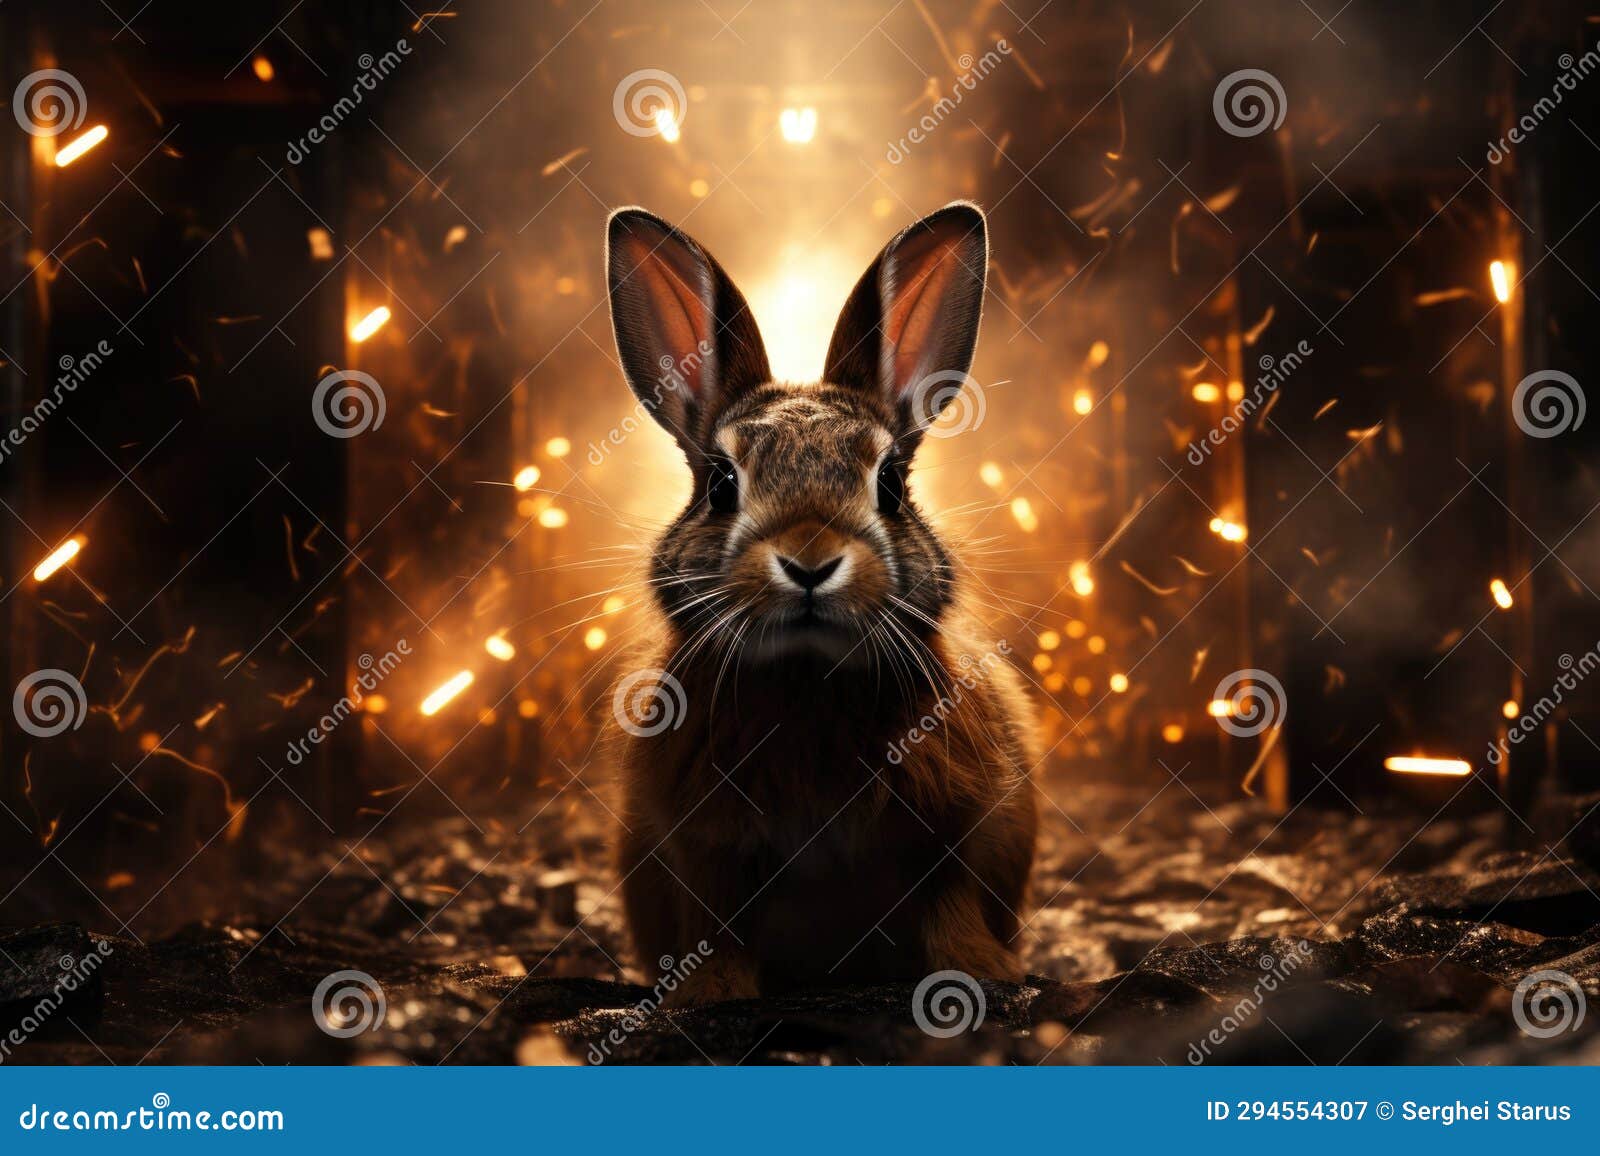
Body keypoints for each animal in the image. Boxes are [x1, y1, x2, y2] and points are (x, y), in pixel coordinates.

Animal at [604, 201, 1037, 1005]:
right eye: (722, 485)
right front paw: (709, 993)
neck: (806, 680)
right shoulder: (704, 845)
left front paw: (983, 975)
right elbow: (717, 924)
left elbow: (952, 905)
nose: (810, 564)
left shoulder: (957, 828)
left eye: (890, 484)